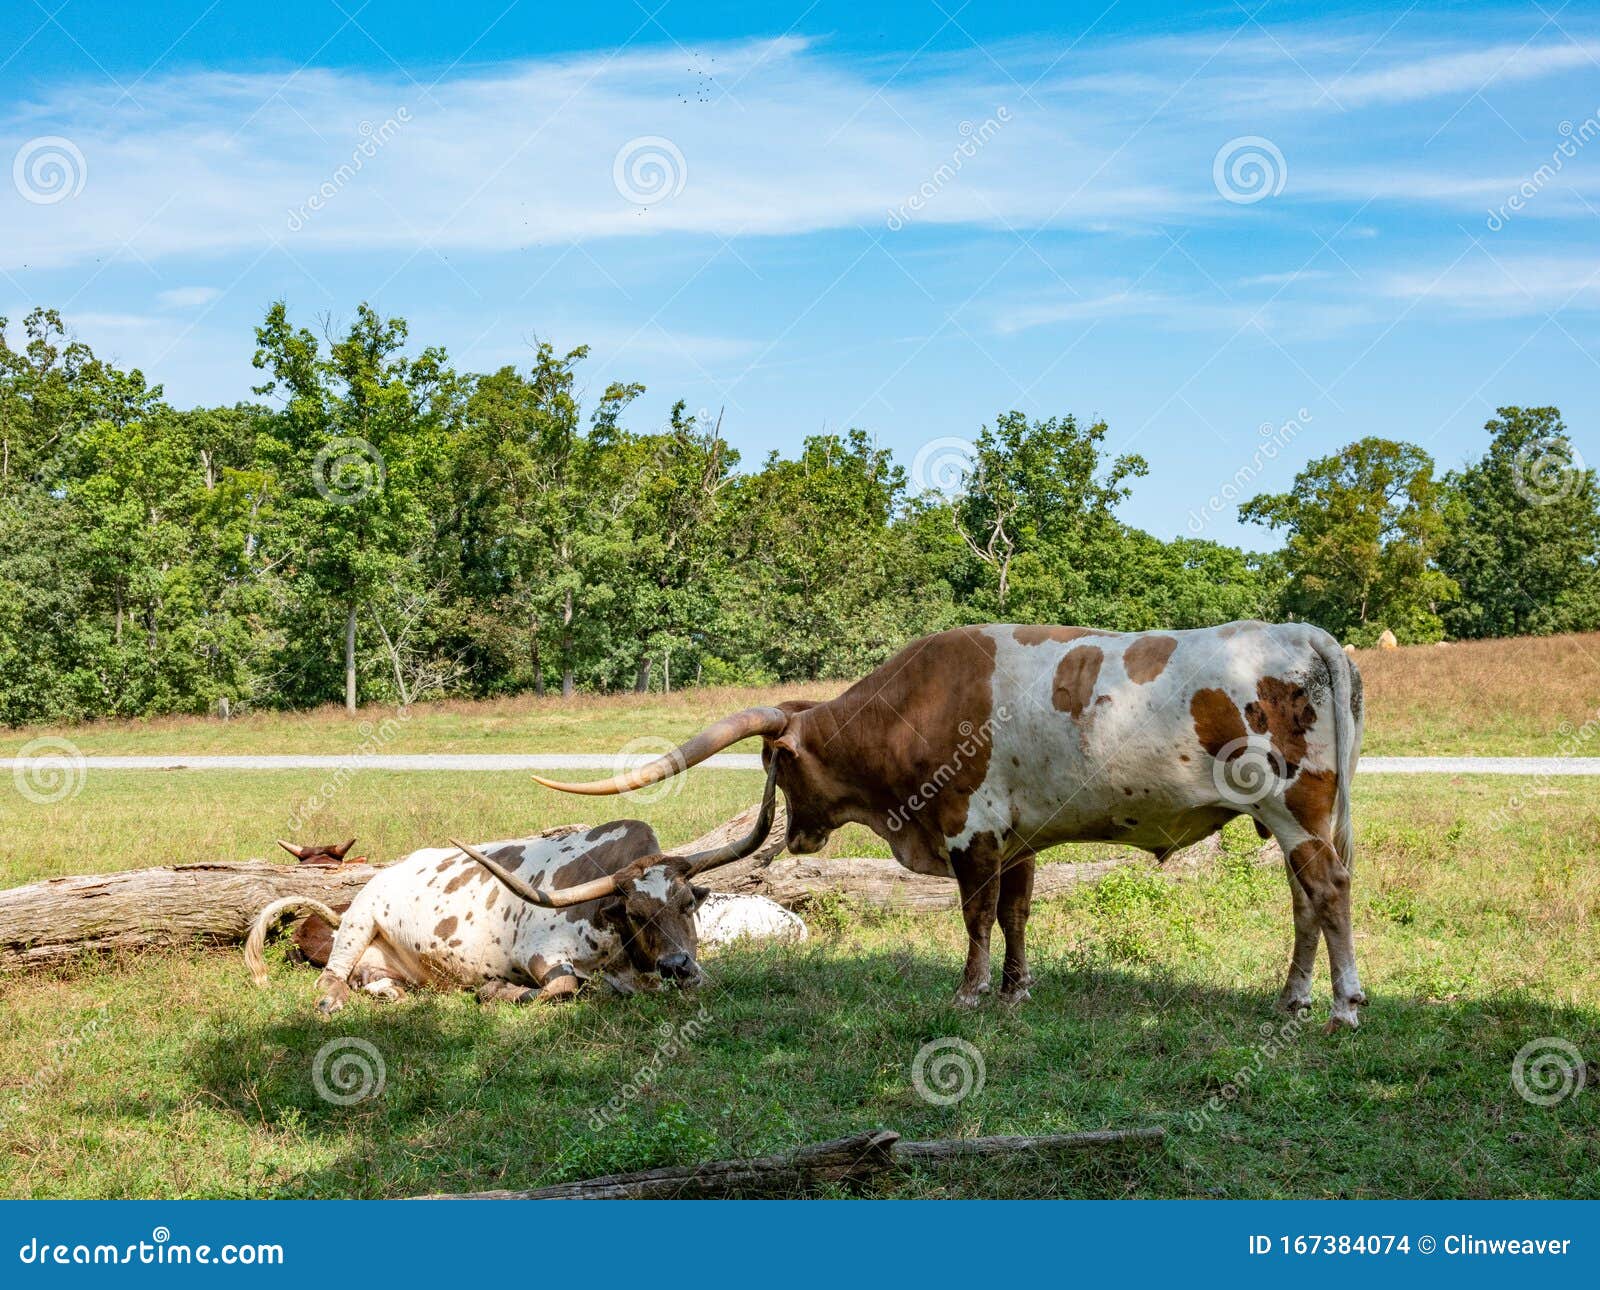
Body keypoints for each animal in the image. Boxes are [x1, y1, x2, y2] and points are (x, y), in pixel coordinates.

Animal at [246, 770, 778, 1013]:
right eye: (636, 913)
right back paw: (334, 998)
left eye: (688, 905)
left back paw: (390, 991)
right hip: (360, 922)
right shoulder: (539, 953)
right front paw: (500, 990)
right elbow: (563, 986)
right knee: (330, 979)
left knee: (380, 980)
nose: (676, 965)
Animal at [531, 622, 1365, 1030]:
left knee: (1328, 893)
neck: (915, 703)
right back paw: (1291, 998)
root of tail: (1311, 636)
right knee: (1305, 903)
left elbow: (977, 917)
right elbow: (1019, 914)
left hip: (1298, 809)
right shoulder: (1022, 837)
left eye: (780, 765)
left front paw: (969, 993)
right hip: (1298, 820)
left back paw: (1343, 1005)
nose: (795, 836)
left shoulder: (972, 829)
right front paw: (1015, 992)